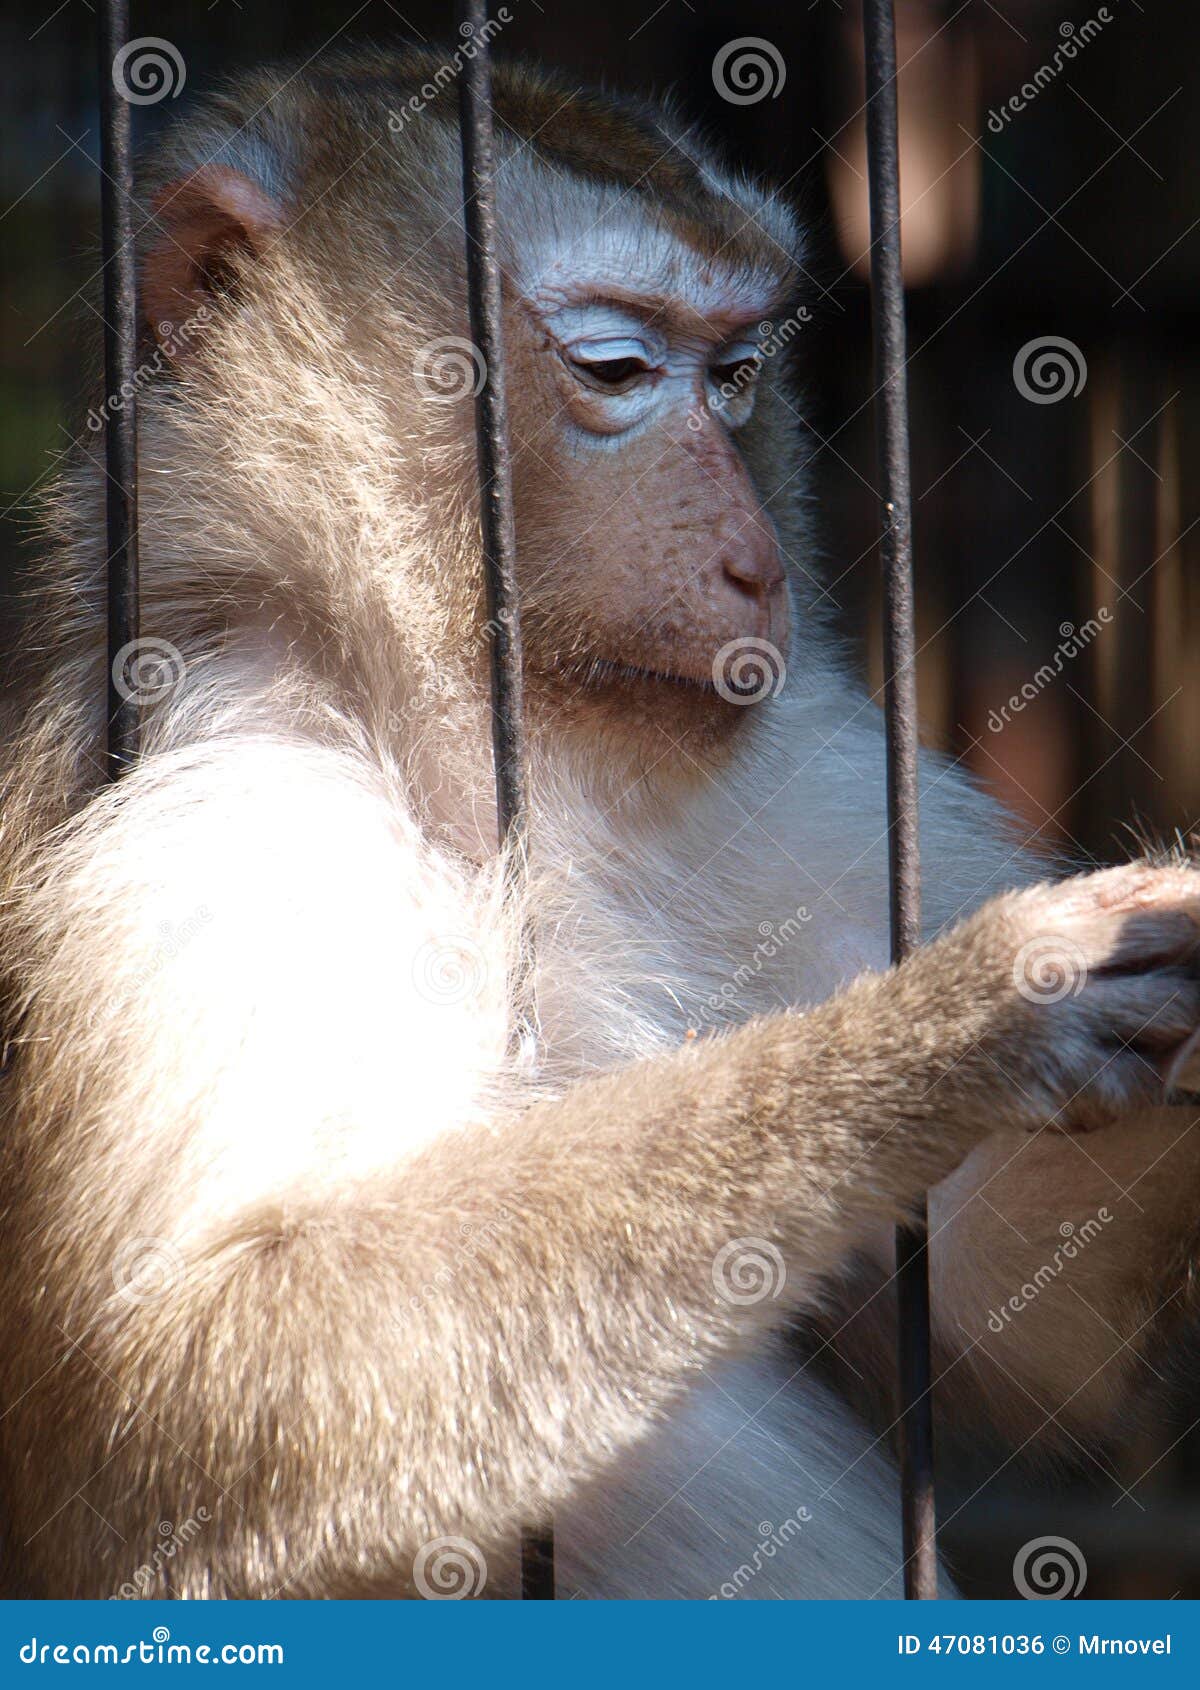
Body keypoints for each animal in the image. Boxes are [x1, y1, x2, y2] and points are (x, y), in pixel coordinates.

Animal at [2, 46, 1200, 1601]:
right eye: (619, 372)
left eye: (739, 374)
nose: (755, 563)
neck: (464, 773)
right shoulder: (208, 805)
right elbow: (179, 1406)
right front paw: (959, 1026)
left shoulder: (796, 778)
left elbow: (1021, 1318)